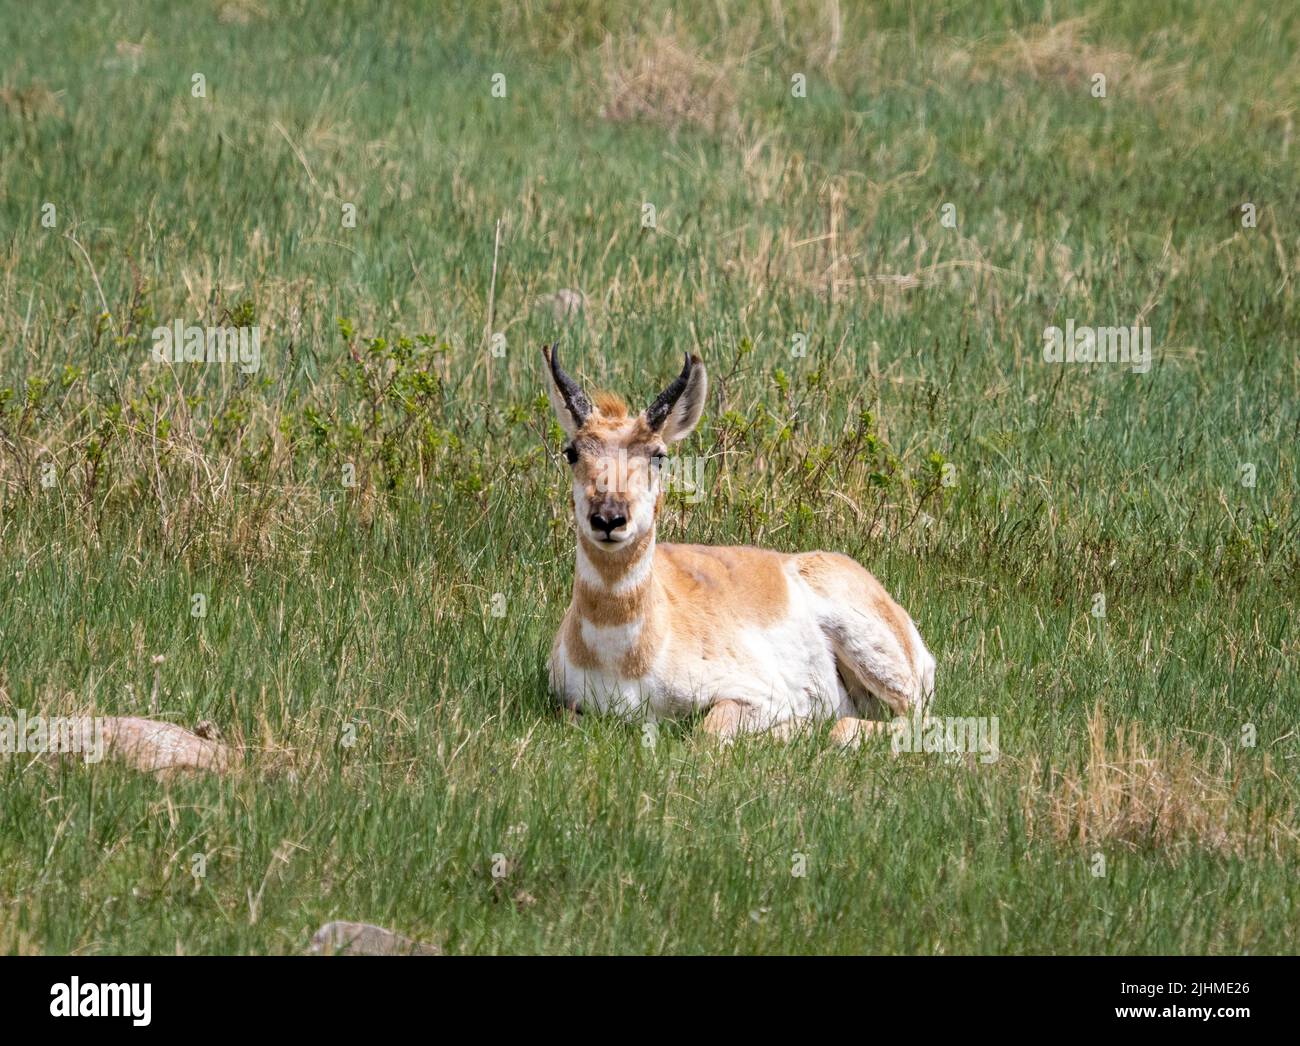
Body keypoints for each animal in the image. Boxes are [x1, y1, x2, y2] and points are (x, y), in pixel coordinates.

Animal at [543, 347, 935, 746]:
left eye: (658, 454)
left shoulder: (757, 696)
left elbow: (707, 733)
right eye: (571, 452)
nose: (608, 518)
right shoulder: (567, 704)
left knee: (904, 720)